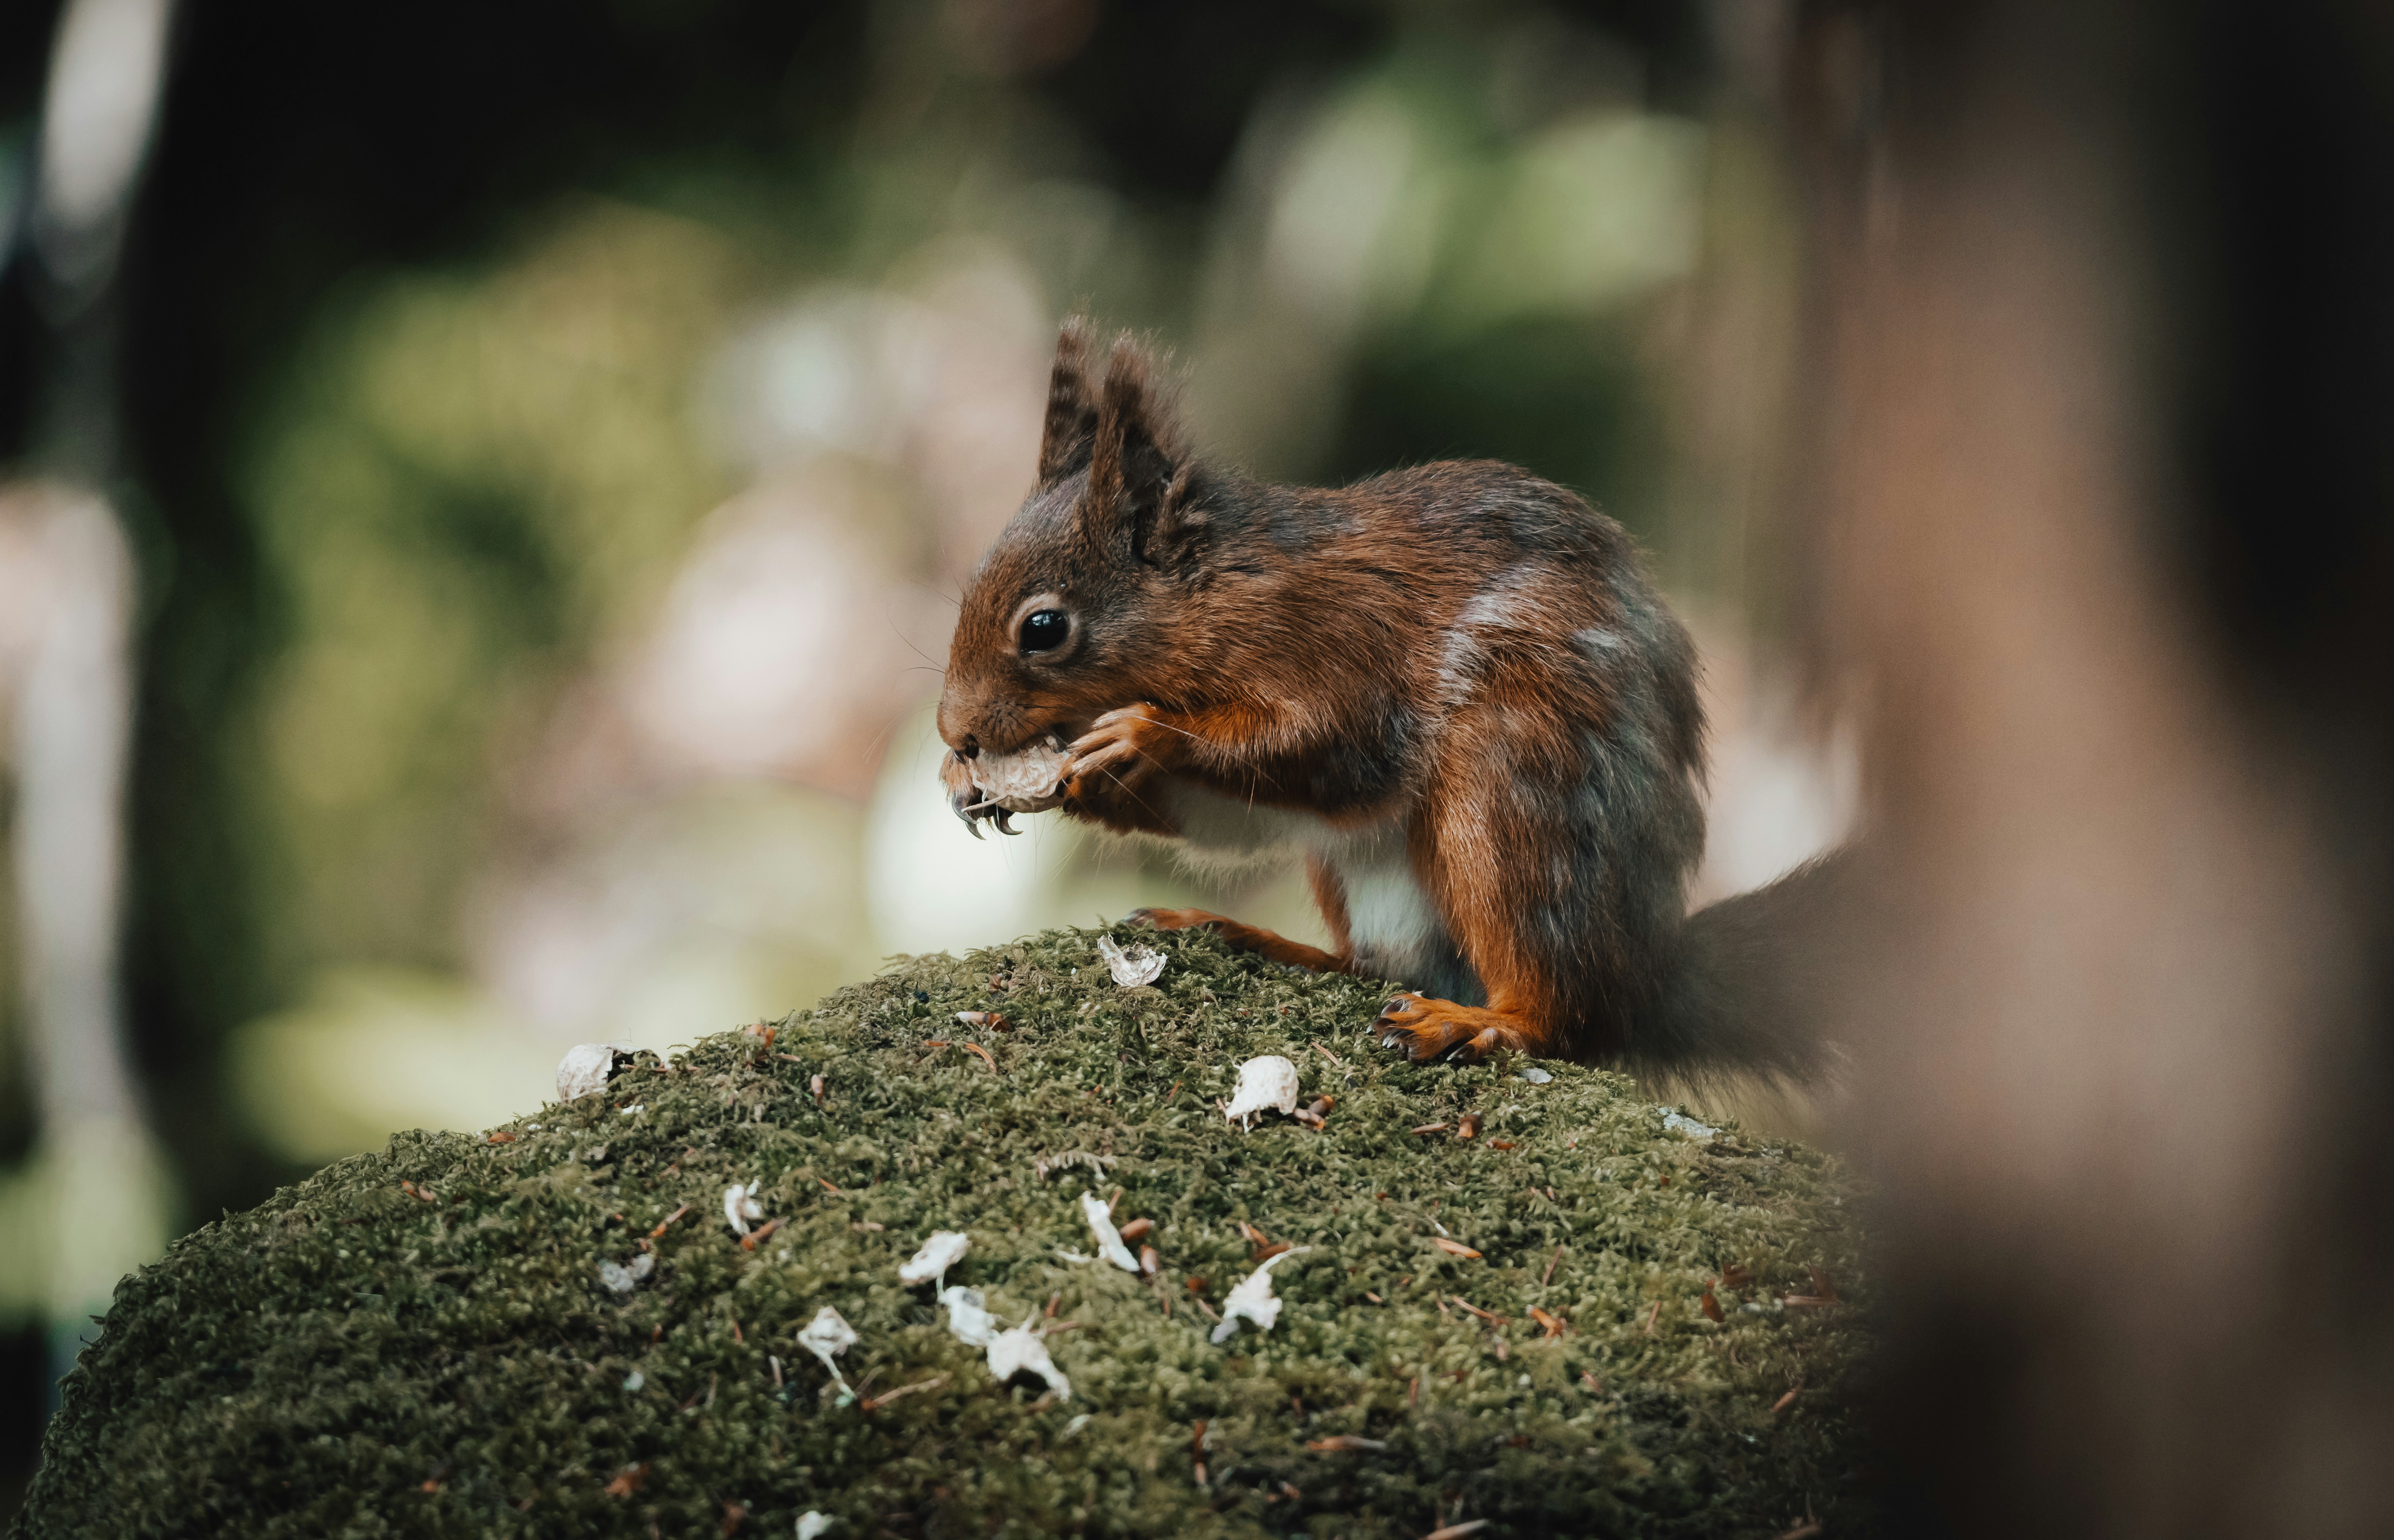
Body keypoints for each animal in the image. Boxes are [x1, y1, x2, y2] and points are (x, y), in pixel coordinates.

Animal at [937, 320, 1841, 1076]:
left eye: (1044, 628)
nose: (954, 731)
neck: (1218, 593)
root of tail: (1646, 974)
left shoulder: (1340, 646)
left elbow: (1327, 747)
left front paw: (1140, 735)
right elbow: (1236, 816)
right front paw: (981, 785)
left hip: (1512, 795)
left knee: (1561, 1014)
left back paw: (1482, 1022)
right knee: (1375, 964)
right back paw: (1250, 937)